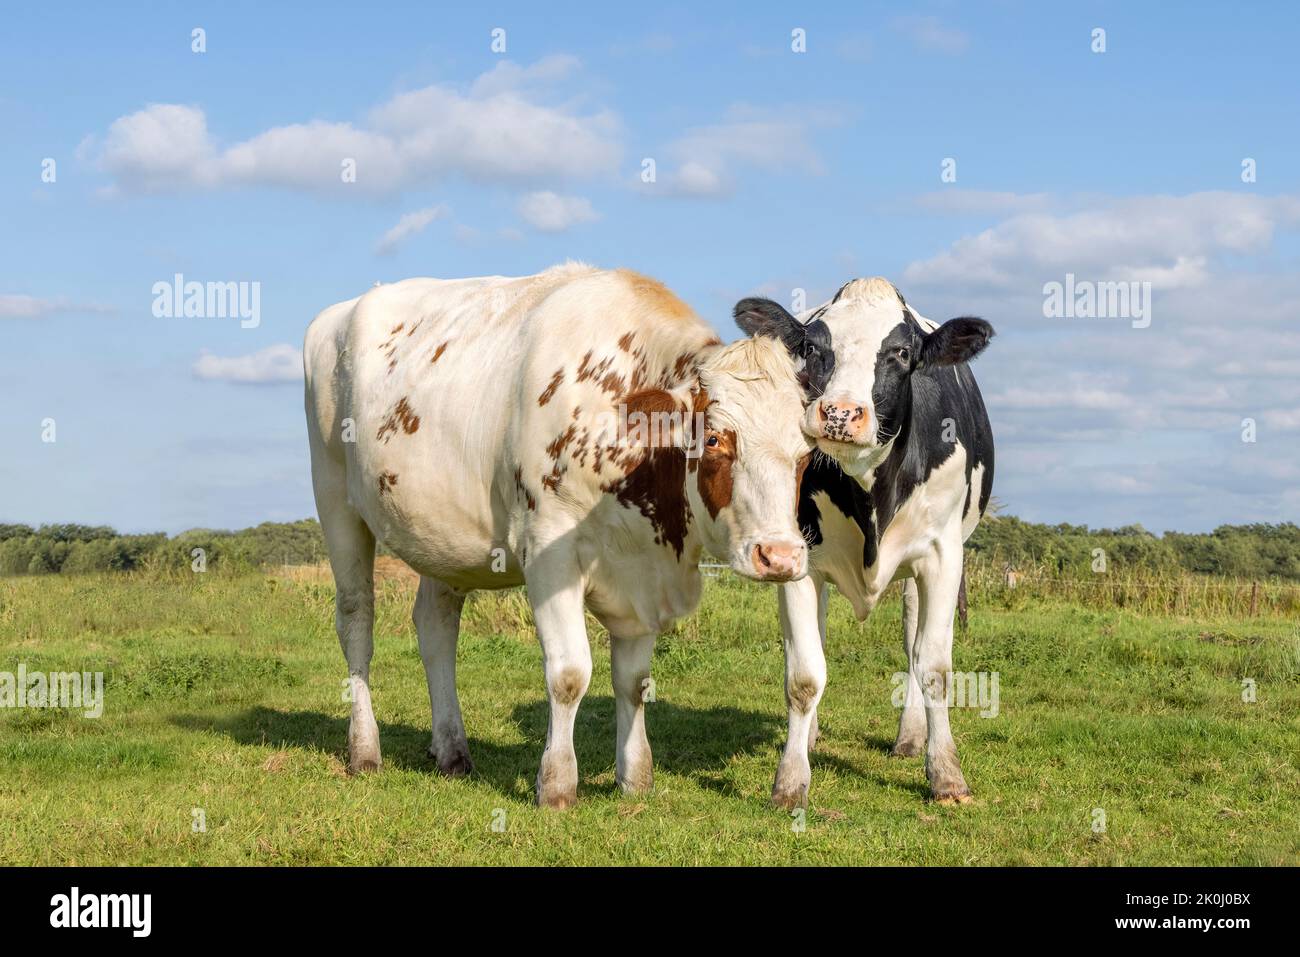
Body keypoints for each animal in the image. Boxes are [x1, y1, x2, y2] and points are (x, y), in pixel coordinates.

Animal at [304, 263, 814, 808]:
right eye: (715, 438)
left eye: (806, 450)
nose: (781, 556)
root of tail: (339, 311)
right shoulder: (550, 553)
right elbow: (569, 674)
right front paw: (556, 783)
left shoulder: (643, 568)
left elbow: (633, 680)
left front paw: (635, 776)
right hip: (336, 503)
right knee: (357, 622)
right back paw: (364, 749)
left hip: (440, 537)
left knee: (436, 629)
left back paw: (451, 750)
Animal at [734, 277, 995, 807]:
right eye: (813, 348)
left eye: (901, 352)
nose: (838, 413)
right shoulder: (799, 557)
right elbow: (804, 674)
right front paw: (790, 780)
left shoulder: (942, 556)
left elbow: (934, 666)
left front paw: (947, 776)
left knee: (914, 642)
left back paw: (910, 737)